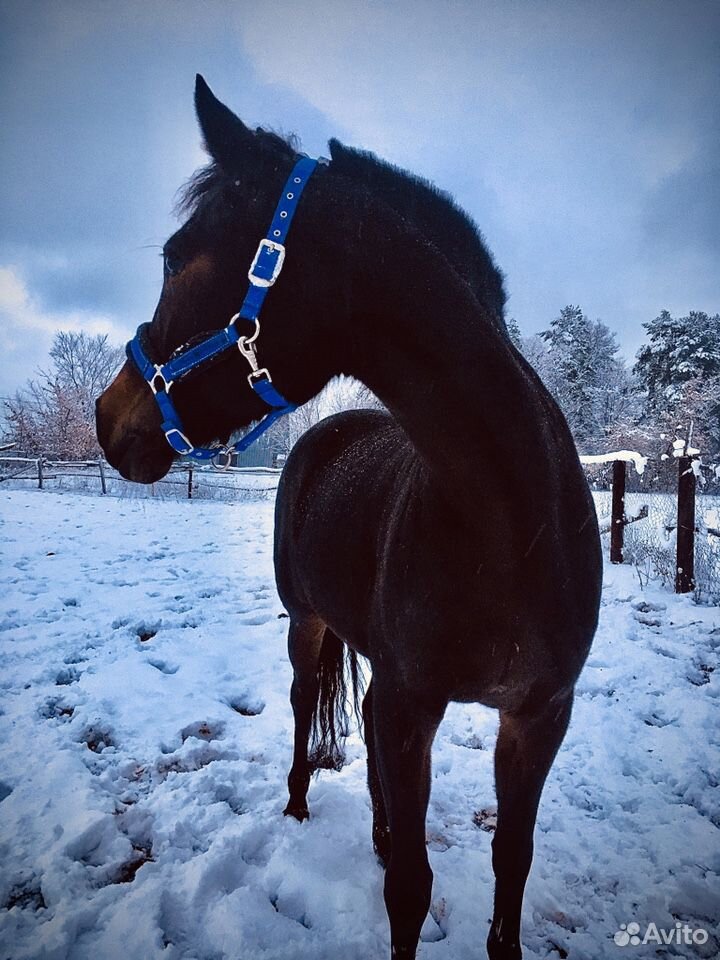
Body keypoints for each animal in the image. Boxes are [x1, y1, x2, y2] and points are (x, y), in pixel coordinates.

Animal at [96, 75, 602, 960]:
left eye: (177, 255)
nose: (105, 416)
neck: (511, 523)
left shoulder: (538, 715)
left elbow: (512, 863)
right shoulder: (411, 703)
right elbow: (409, 887)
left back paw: (373, 828)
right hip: (309, 623)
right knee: (307, 705)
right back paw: (300, 803)